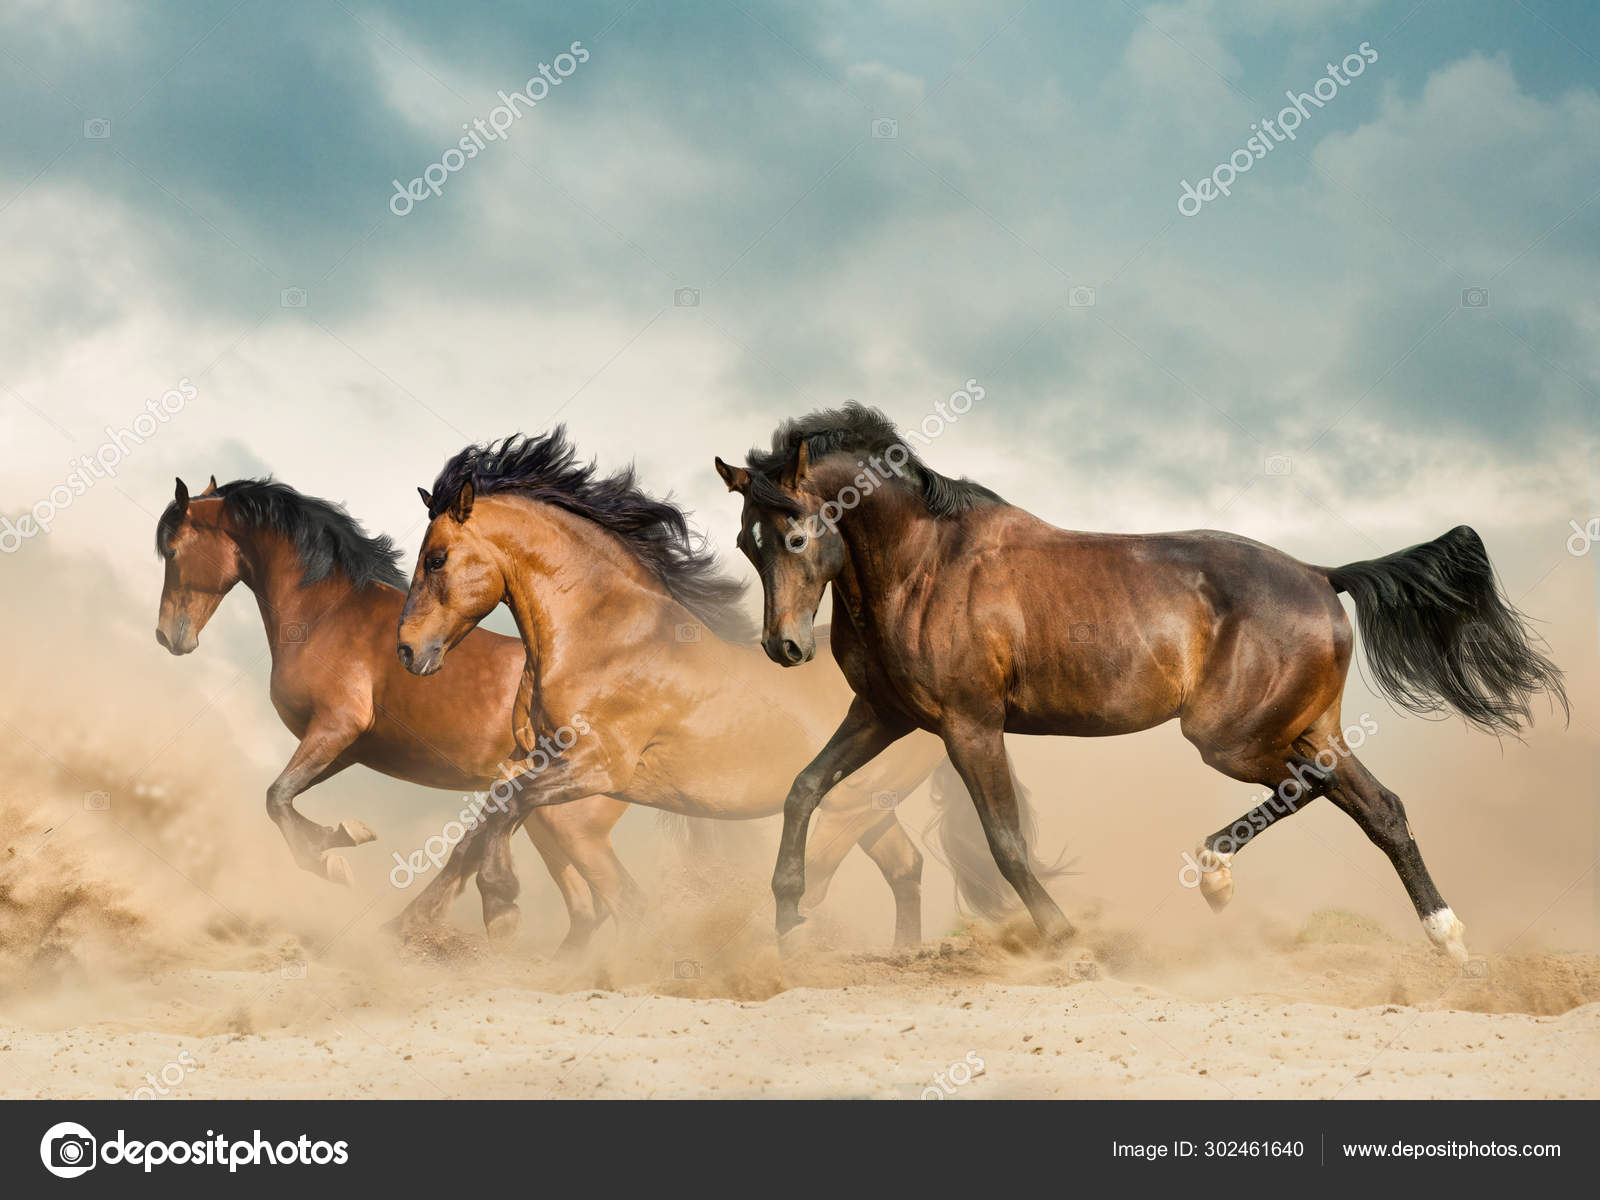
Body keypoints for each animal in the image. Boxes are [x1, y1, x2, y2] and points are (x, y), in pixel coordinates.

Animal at [154, 474, 647, 952]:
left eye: (172, 551)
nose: (167, 636)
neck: (327, 612)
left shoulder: (335, 727)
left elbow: (276, 798)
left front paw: (332, 855)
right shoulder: (345, 749)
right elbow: (285, 799)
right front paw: (337, 839)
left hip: (567, 826)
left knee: (621, 902)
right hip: (545, 824)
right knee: (585, 909)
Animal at [390, 429, 1053, 946]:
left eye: (437, 559)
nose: (407, 651)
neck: (606, 637)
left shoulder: (596, 766)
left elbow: (512, 811)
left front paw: (499, 901)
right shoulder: (532, 759)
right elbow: (492, 812)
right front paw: (463, 910)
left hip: (853, 808)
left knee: (823, 880)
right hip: (864, 805)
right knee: (904, 867)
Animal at [713, 402, 1569, 962]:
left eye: (795, 535)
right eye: (747, 543)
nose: (783, 647)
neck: (923, 567)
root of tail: (1322, 574)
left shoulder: (968, 724)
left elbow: (1006, 842)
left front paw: (1064, 938)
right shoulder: (884, 713)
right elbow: (803, 787)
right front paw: (787, 921)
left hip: (1233, 737)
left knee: (1328, 787)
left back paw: (1219, 874)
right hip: (1299, 726)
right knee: (1378, 807)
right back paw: (1445, 940)